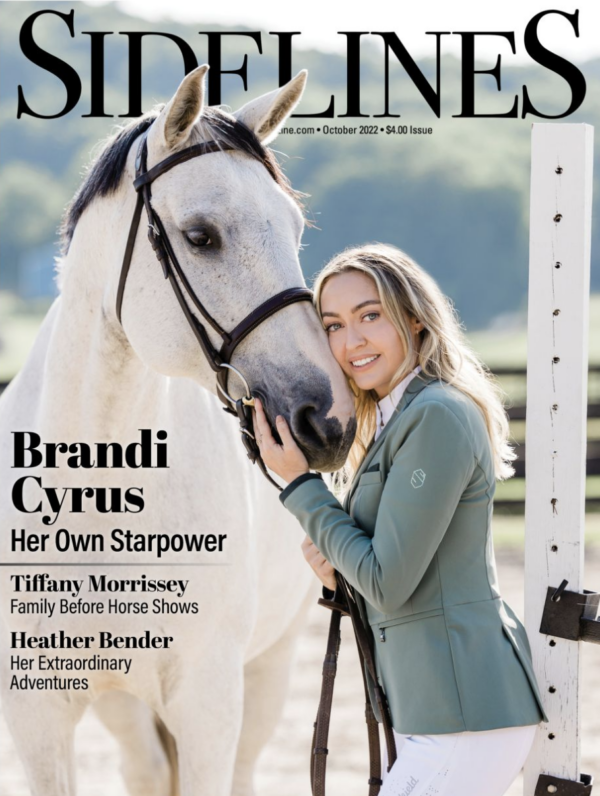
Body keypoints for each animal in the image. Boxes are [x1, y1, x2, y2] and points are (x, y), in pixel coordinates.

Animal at [0, 65, 355, 796]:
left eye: (294, 228)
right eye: (200, 236)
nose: (328, 418)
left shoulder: (209, 706)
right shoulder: (37, 715)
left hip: (266, 673)